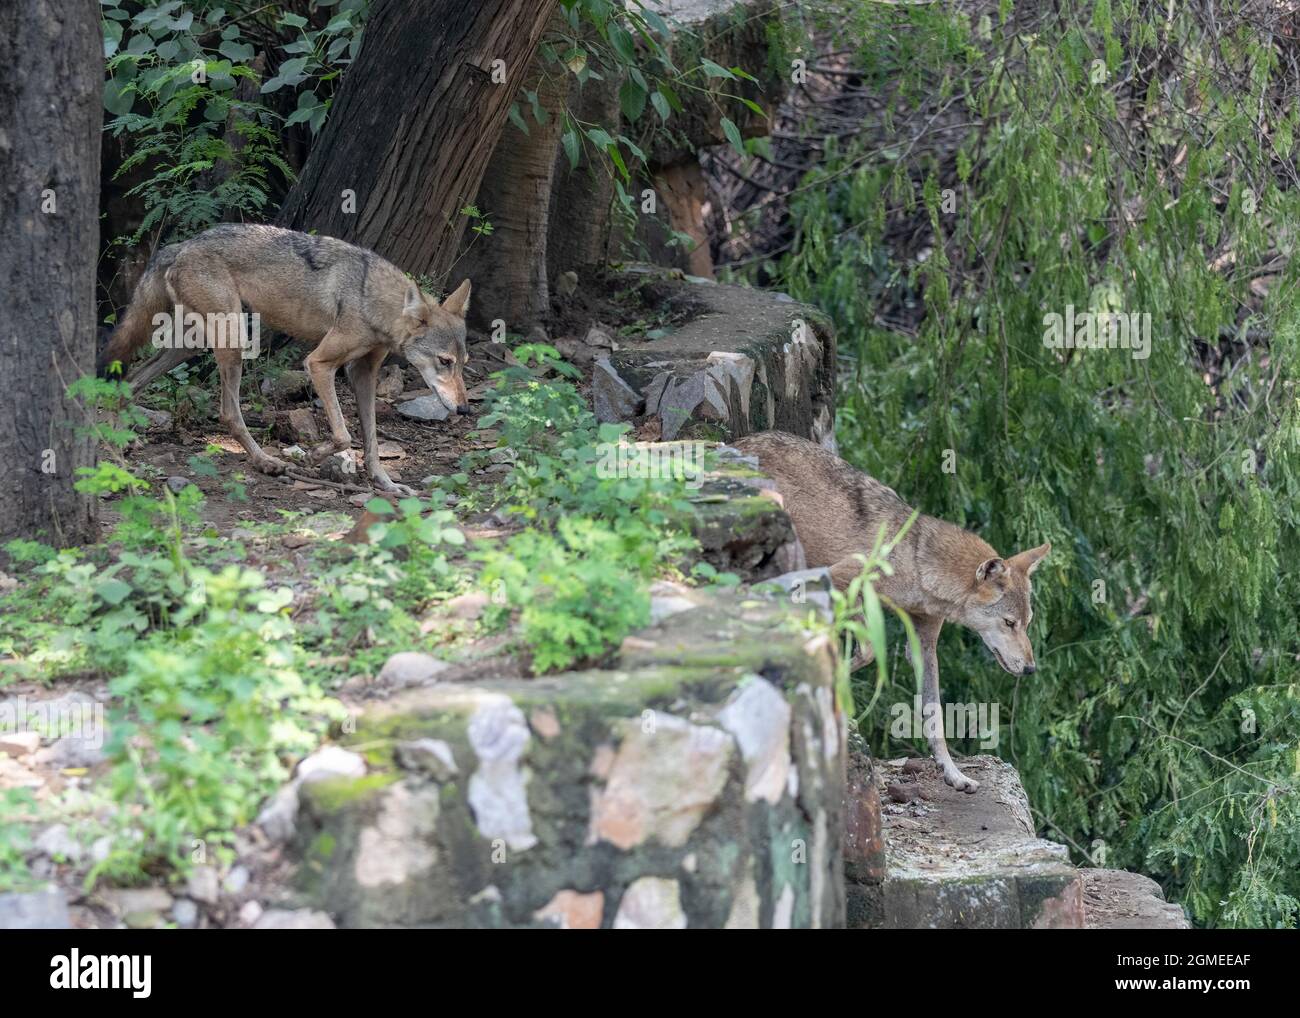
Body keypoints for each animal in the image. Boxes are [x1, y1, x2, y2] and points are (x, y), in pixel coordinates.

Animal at [98, 224, 471, 496]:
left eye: (463, 362)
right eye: (444, 361)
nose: (465, 409)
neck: (368, 297)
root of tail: (180, 245)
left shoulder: (364, 373)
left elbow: (372, 440)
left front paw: (386, 483)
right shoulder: (318, 364)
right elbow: (344, 436)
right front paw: (312, 455)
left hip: (192, 345)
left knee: (130, 382)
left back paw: (118, 451)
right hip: (233, 339)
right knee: (228, 413)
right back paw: (265, 462)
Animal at [735, 431, 1050, 793]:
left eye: (1026, 623)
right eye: (1009, 623)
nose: (1030, 669)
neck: (916, 564)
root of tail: (740, 442)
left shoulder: (924, 642)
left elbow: (935, 714)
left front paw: (953, 772)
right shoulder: (842, 583)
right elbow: (867, 651)